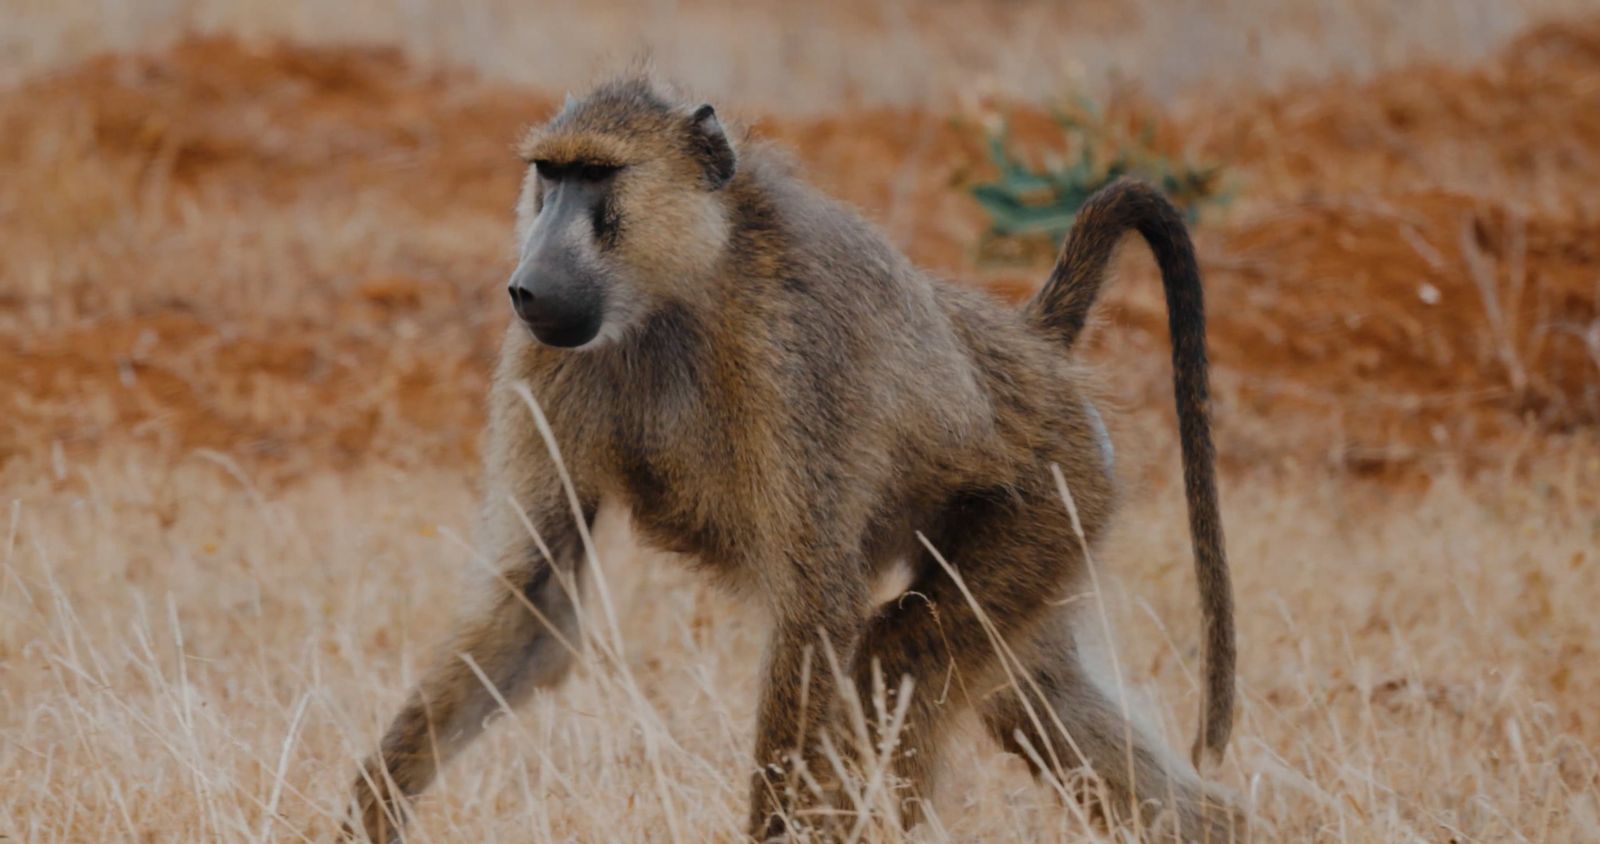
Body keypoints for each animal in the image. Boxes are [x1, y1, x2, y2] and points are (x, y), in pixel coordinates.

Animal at [347, 75, 1239, 842]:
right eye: (548, 175)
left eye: (598, 177)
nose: (526, 285)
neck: (675, 293)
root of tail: (1035, 343)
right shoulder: (543, 361)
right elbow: (531, 600)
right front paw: (371, 807)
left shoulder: (794, 344)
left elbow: (814, 611)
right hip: (1057, 521)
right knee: (1031, 697)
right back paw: (1219, 823)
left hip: (1052, 491)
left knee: (895, 664)